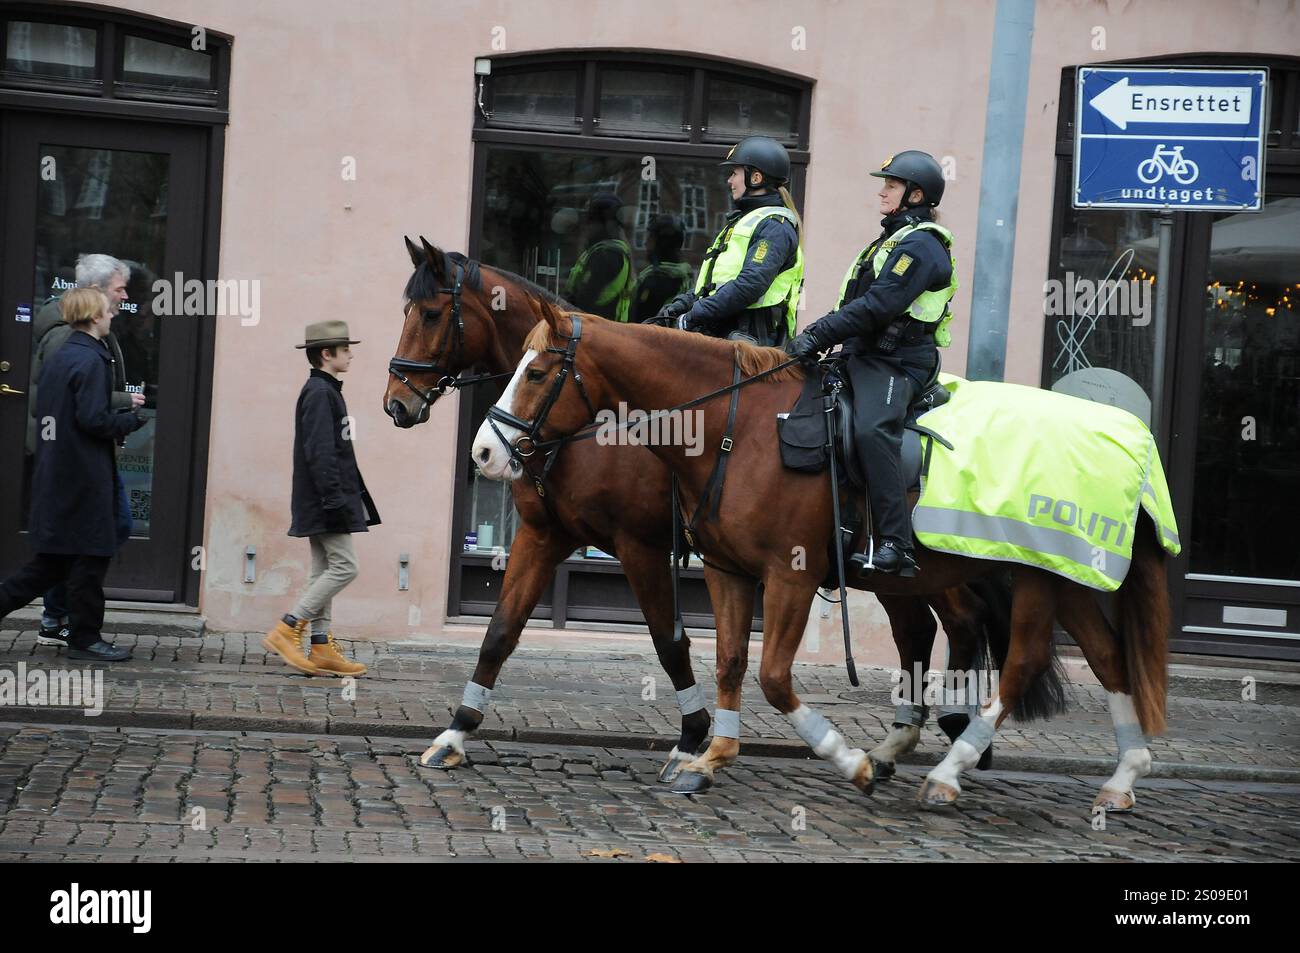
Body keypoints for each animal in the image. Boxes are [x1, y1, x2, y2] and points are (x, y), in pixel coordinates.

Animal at [383, 239, 1033, 784]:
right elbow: (500, 632)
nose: (396, 404)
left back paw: (954, 736)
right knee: (924, 630)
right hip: (890, 574)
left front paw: (691, 738)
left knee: (962, 624)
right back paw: (916, 740)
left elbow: (670, 641)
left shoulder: (640, 546)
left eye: (432, 314)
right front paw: (454, 734)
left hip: (926, 566)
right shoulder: (544, 536)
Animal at [472, 305, 1170, 813]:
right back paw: (1122, 776)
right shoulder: (728, 572)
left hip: (1032, 577)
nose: (484, 450)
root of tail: (1129, 438)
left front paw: (848, 761)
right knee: (1105, 660)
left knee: (1017, 662)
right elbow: (730, 662)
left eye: (538, 373)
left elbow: (774, 677)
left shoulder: (789, 575)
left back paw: (948, 769)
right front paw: (712, 757)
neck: (739, 427)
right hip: (1062, 578)